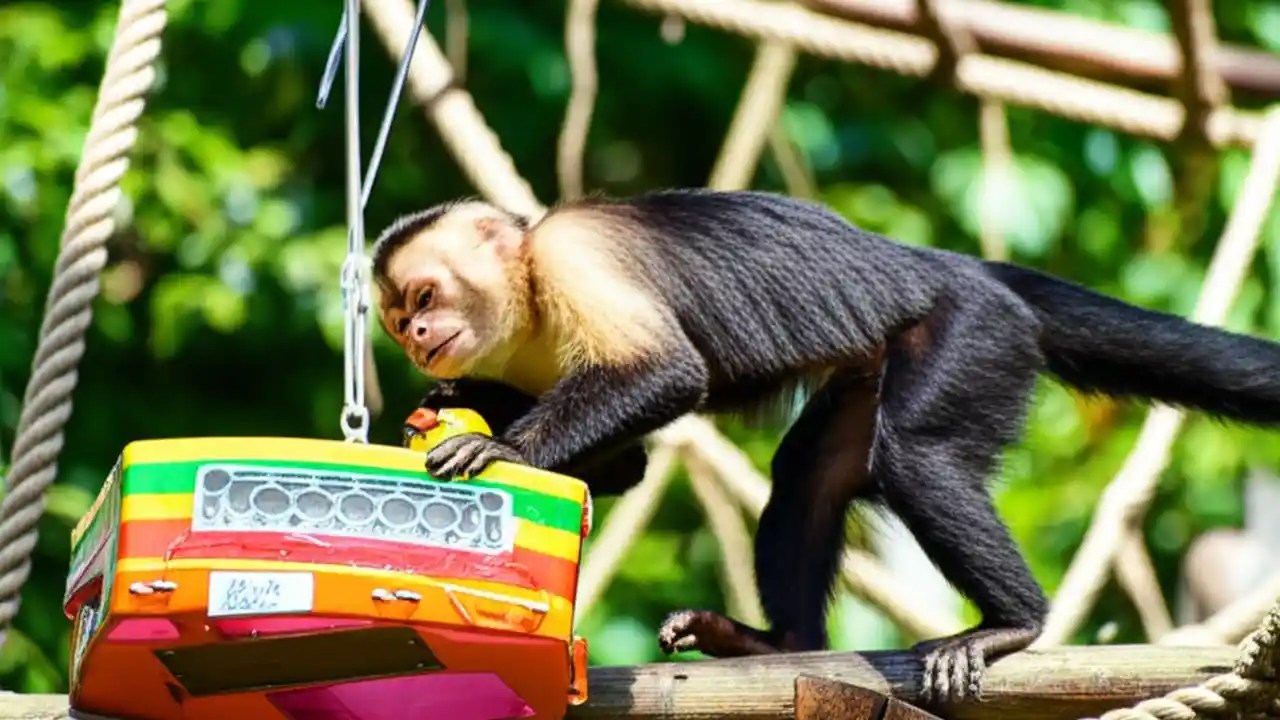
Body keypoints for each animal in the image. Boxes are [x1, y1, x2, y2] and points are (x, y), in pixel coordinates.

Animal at [370, 188, 1280, 706]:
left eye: (425, 296)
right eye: (397, 316)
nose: (416, 338)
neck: (526, 292)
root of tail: (965, 268)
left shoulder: (572, 262)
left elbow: (667, 375)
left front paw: (500, 450)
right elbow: (627, 460)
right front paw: (460, 406)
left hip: (971, 332)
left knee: (914, 454)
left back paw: (1012, 626)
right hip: (879, 368)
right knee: (807, 475)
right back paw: (775, 645)